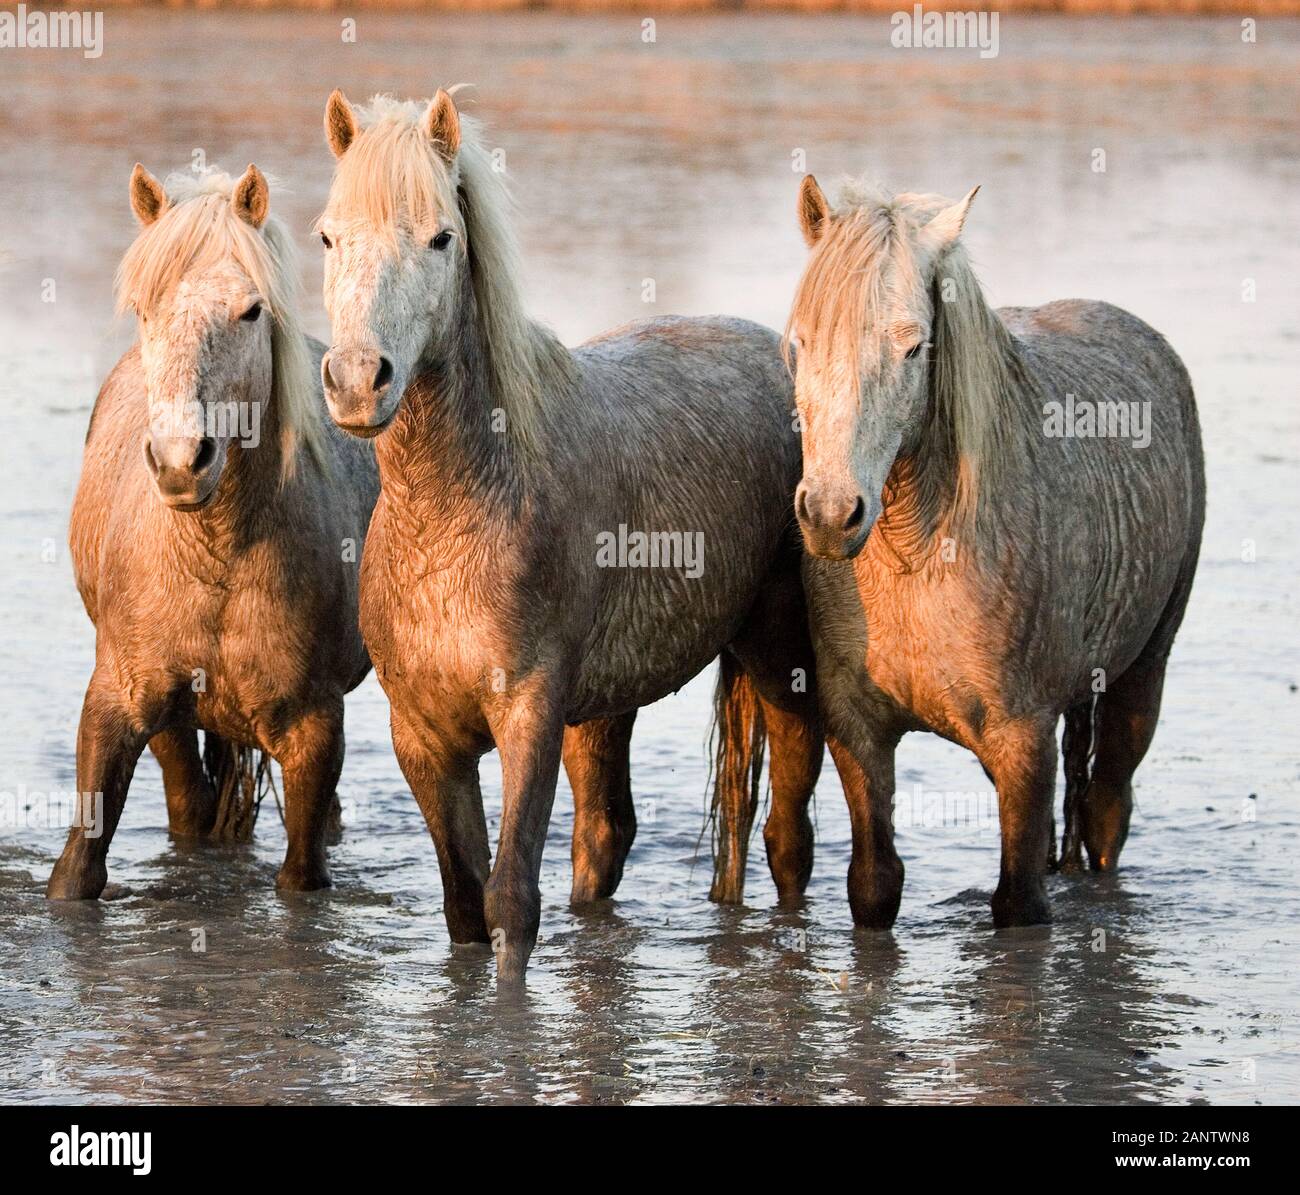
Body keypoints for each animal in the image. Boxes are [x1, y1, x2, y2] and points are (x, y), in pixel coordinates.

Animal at [47, 164, 380, 899]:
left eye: (251, 310)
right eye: (144, 310)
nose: (180, 461)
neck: (214, 554)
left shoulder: (315, 731)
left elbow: (302, 875)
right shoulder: (118, 706)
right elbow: (78, 871)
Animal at [315, 88, 824, 982]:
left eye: (441, 237)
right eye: (328, 236)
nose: (355, 379)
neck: (454, 518)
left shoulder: (529, 716)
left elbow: (512, 896)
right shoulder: (424, 739)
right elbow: (464, 904)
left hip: (779, 666)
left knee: (786, 836)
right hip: (607, 709)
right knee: (606, 834)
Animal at [787, 175, 1204, 930]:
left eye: (914, 347)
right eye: (801, 344)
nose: (832, 515)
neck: (919, 554)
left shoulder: (1022, 740)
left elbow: (1019, 902)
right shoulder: (858, 731)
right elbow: (875, 882)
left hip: (1142, 675)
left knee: (1107, 808)